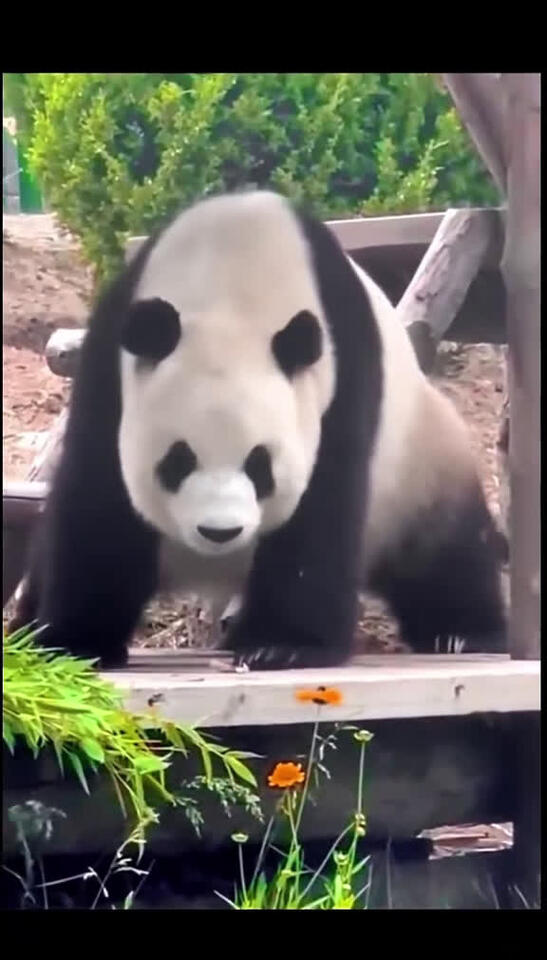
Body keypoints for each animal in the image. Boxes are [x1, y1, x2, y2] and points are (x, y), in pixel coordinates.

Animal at [13, 190, 506, 670]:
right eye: (177, 460)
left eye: (260, 465)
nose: (220, 532)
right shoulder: (111, 371)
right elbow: (100, 504)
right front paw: (75, 641)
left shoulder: (340, 381)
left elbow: (319, 513)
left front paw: (282, 646)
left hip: (419, 465)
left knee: (445, 554)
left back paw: (463, 633)